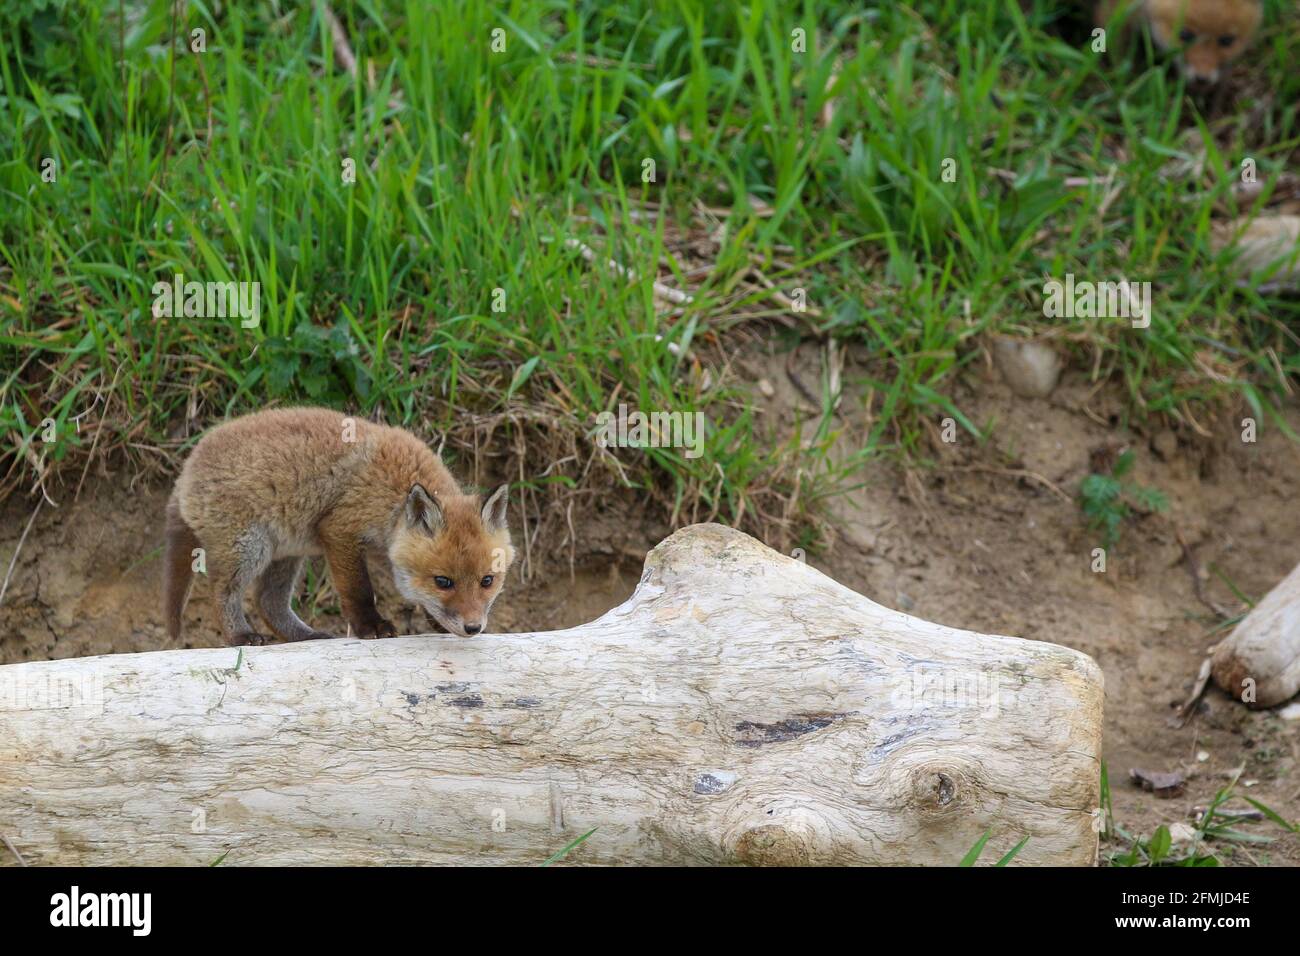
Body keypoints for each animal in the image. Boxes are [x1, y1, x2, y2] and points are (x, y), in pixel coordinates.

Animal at [163, 407, 515, 646]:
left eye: (487, 581)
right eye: (443, 581)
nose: (473, 628)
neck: (393, 493)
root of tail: (188, 465)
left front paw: (437, 624)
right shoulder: (340, 530)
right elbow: (360, 591)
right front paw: (371, 627)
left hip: (286, 553)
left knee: (267, 601)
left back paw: (306, 636)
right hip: (249, 548)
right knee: (224, 592)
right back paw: (240, 635)